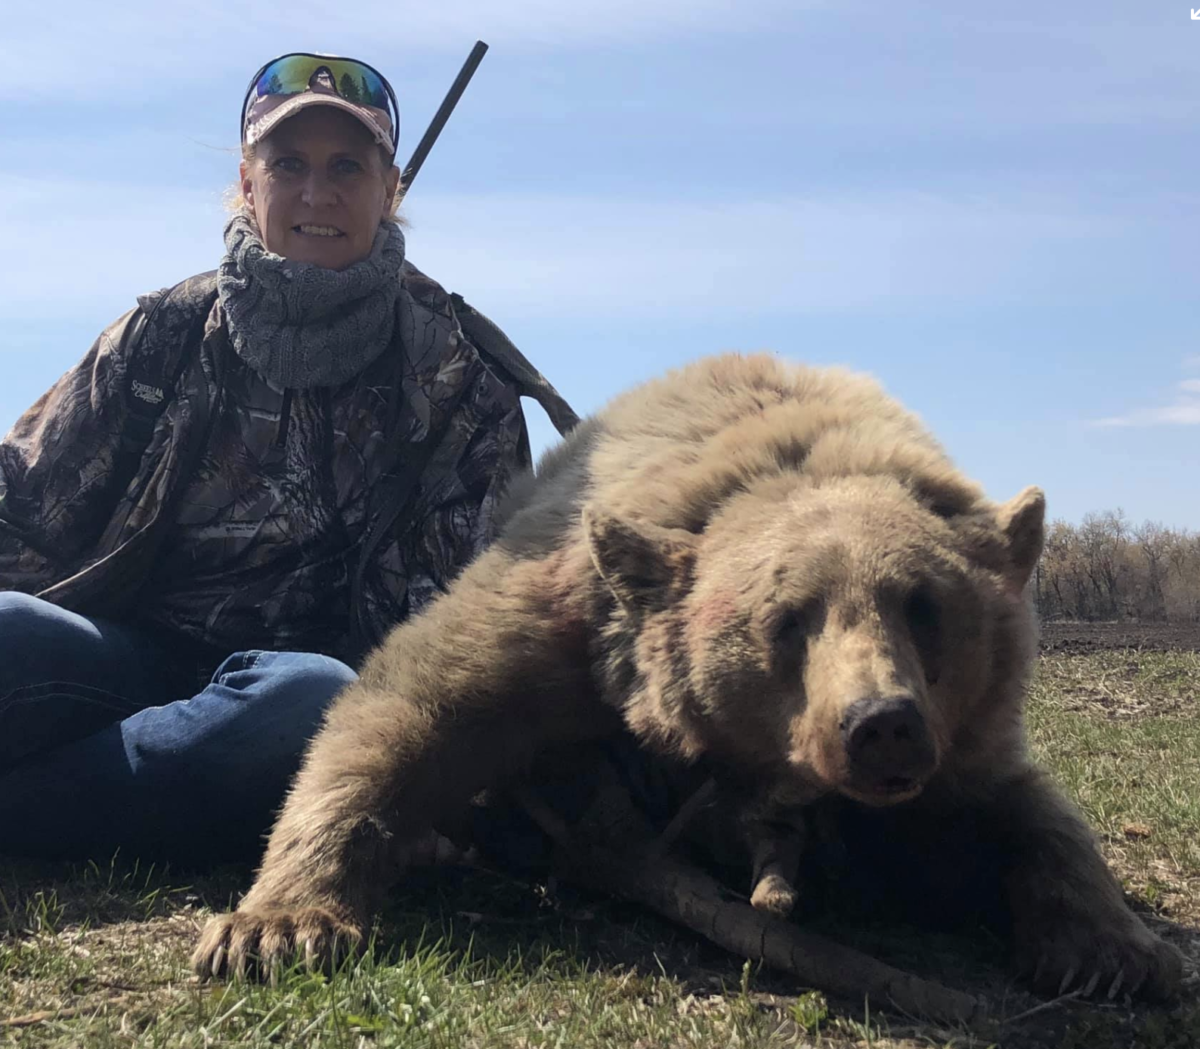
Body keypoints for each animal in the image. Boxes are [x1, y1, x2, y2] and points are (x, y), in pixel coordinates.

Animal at [193, 353, 1182, 1000]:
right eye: (789, 617)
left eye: (923, 604)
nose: (881, 722)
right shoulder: (572, 606)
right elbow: (407, 704)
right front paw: (273, 927)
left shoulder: (953, 756)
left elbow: (1021, 815)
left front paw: (1110, 948)